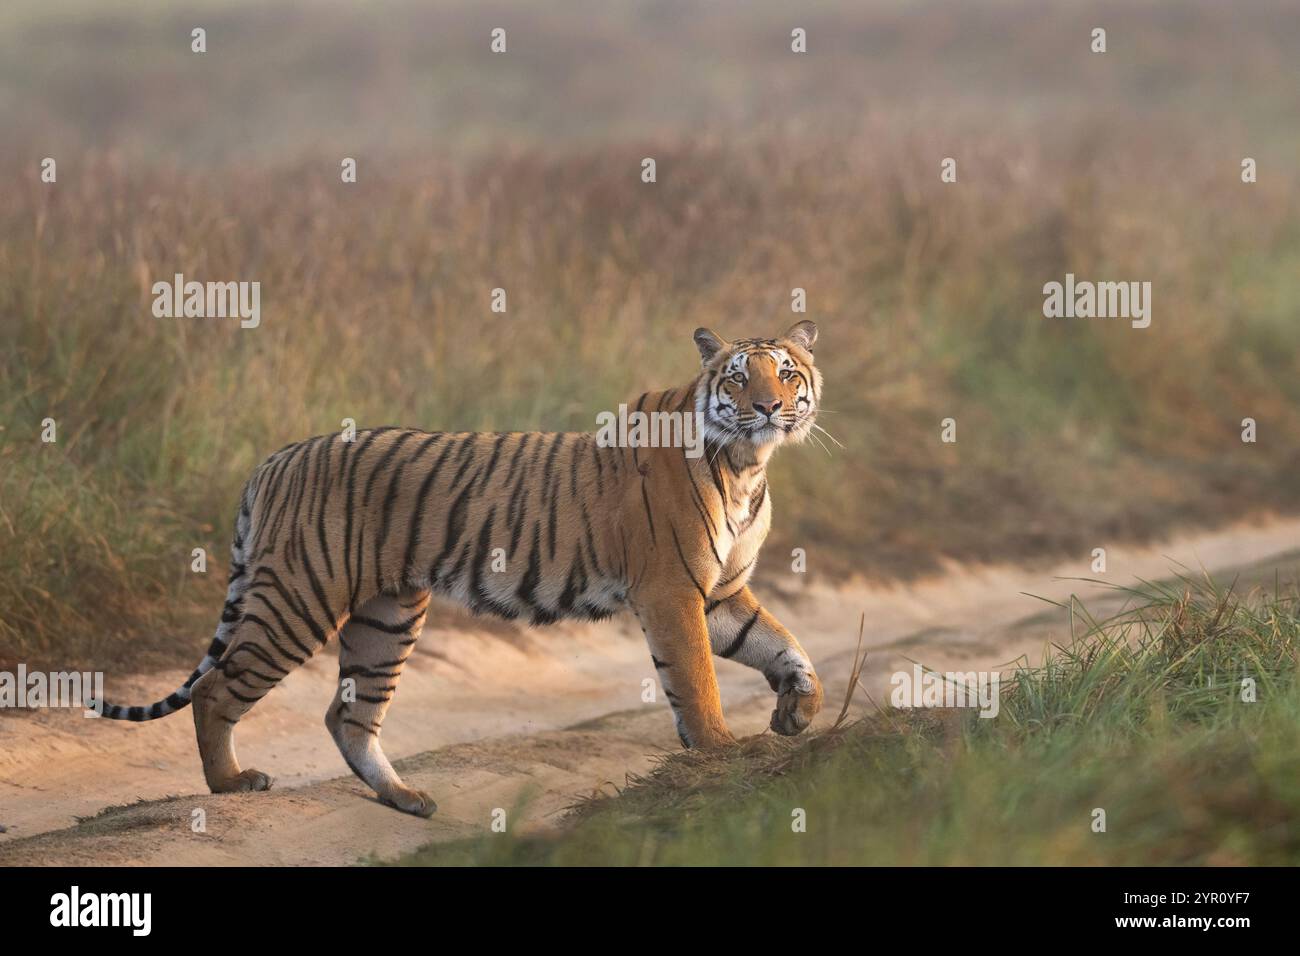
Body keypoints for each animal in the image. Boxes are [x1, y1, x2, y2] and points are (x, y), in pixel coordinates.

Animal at [88, 321, 825, 817]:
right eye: (739, 377)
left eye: (787, 373)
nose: (768, 407)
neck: (747, 465)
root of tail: (277, 457)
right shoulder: (674, 590)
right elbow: (696, 681)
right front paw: (722, 754)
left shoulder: (721, 592)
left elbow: (784, 645)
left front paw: (799, 710)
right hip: (299, 598)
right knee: (217, 689)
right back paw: (232, 783)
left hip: (385, 615)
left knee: (348, 714)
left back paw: (405, 797)